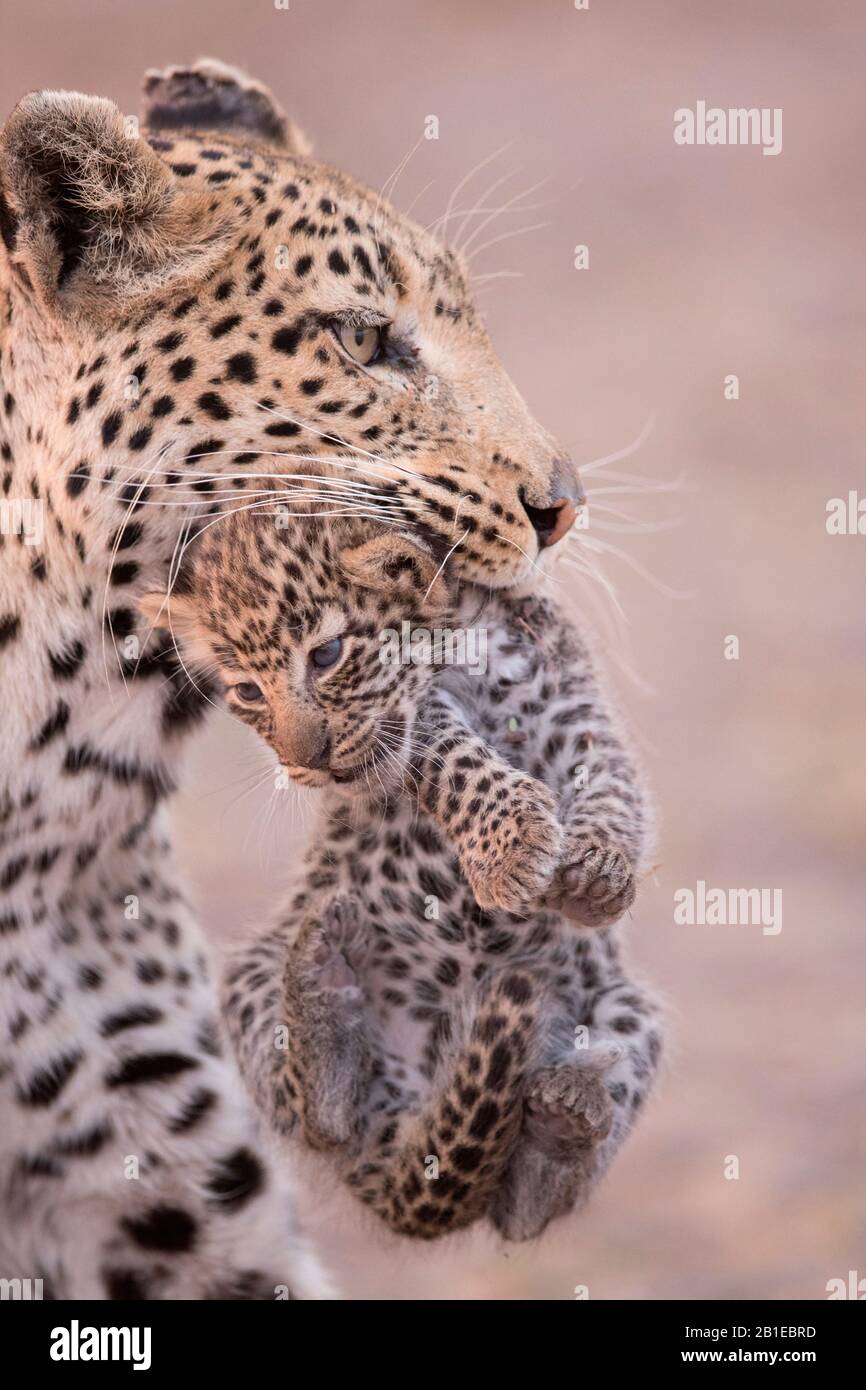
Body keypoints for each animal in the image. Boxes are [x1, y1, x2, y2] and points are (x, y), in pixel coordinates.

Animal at [140, 501, 663, 1243]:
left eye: (326, 656)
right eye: (245, 692)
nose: (307, 765)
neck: (477, 626)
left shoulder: (576, 710)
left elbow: (613, 787)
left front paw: (599, 874)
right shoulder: (421, 715)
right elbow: (456, 763)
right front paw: (514, 849)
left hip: (630, 1008)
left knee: (522, 1213)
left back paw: (566, 1117)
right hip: (254, 971)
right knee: (323, 1123)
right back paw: (324, 1004)